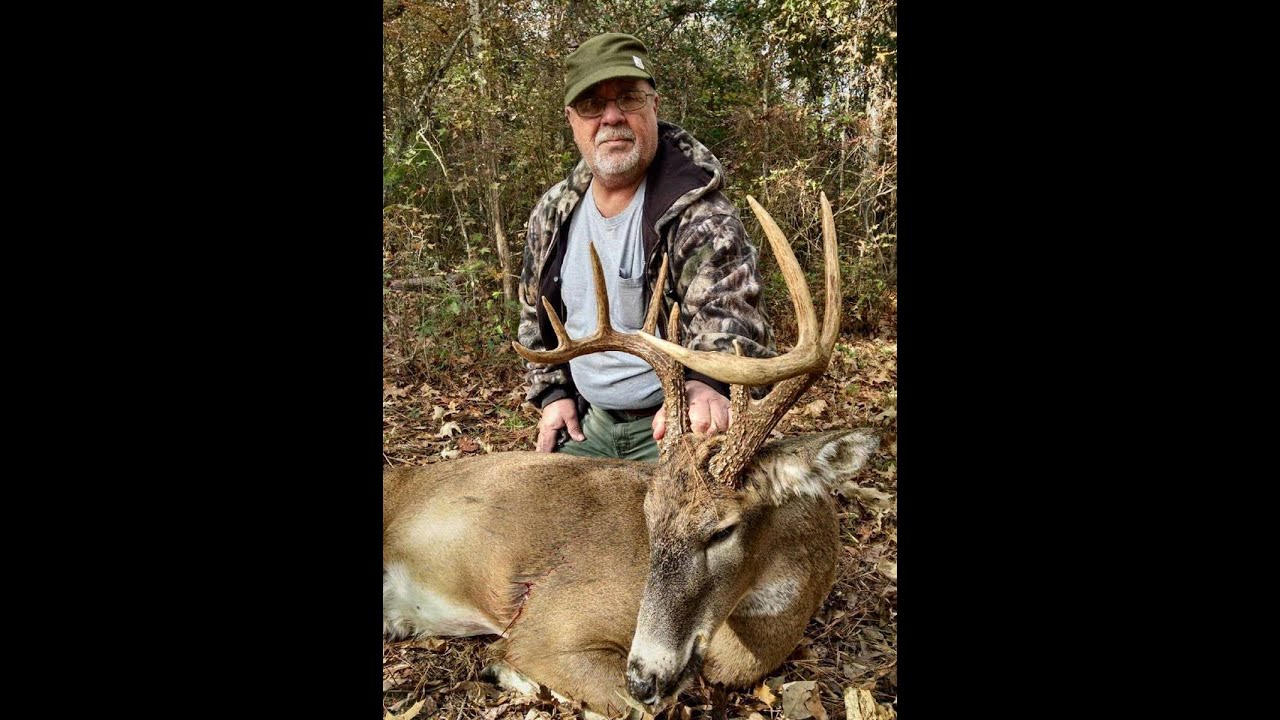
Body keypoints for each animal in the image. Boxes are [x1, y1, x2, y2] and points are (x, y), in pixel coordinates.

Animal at [383, 192, 878, 719]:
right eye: (649, 518)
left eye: (723, 530)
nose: (643, 676)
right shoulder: (546, 626)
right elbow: (631, 704)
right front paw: (510, 673)